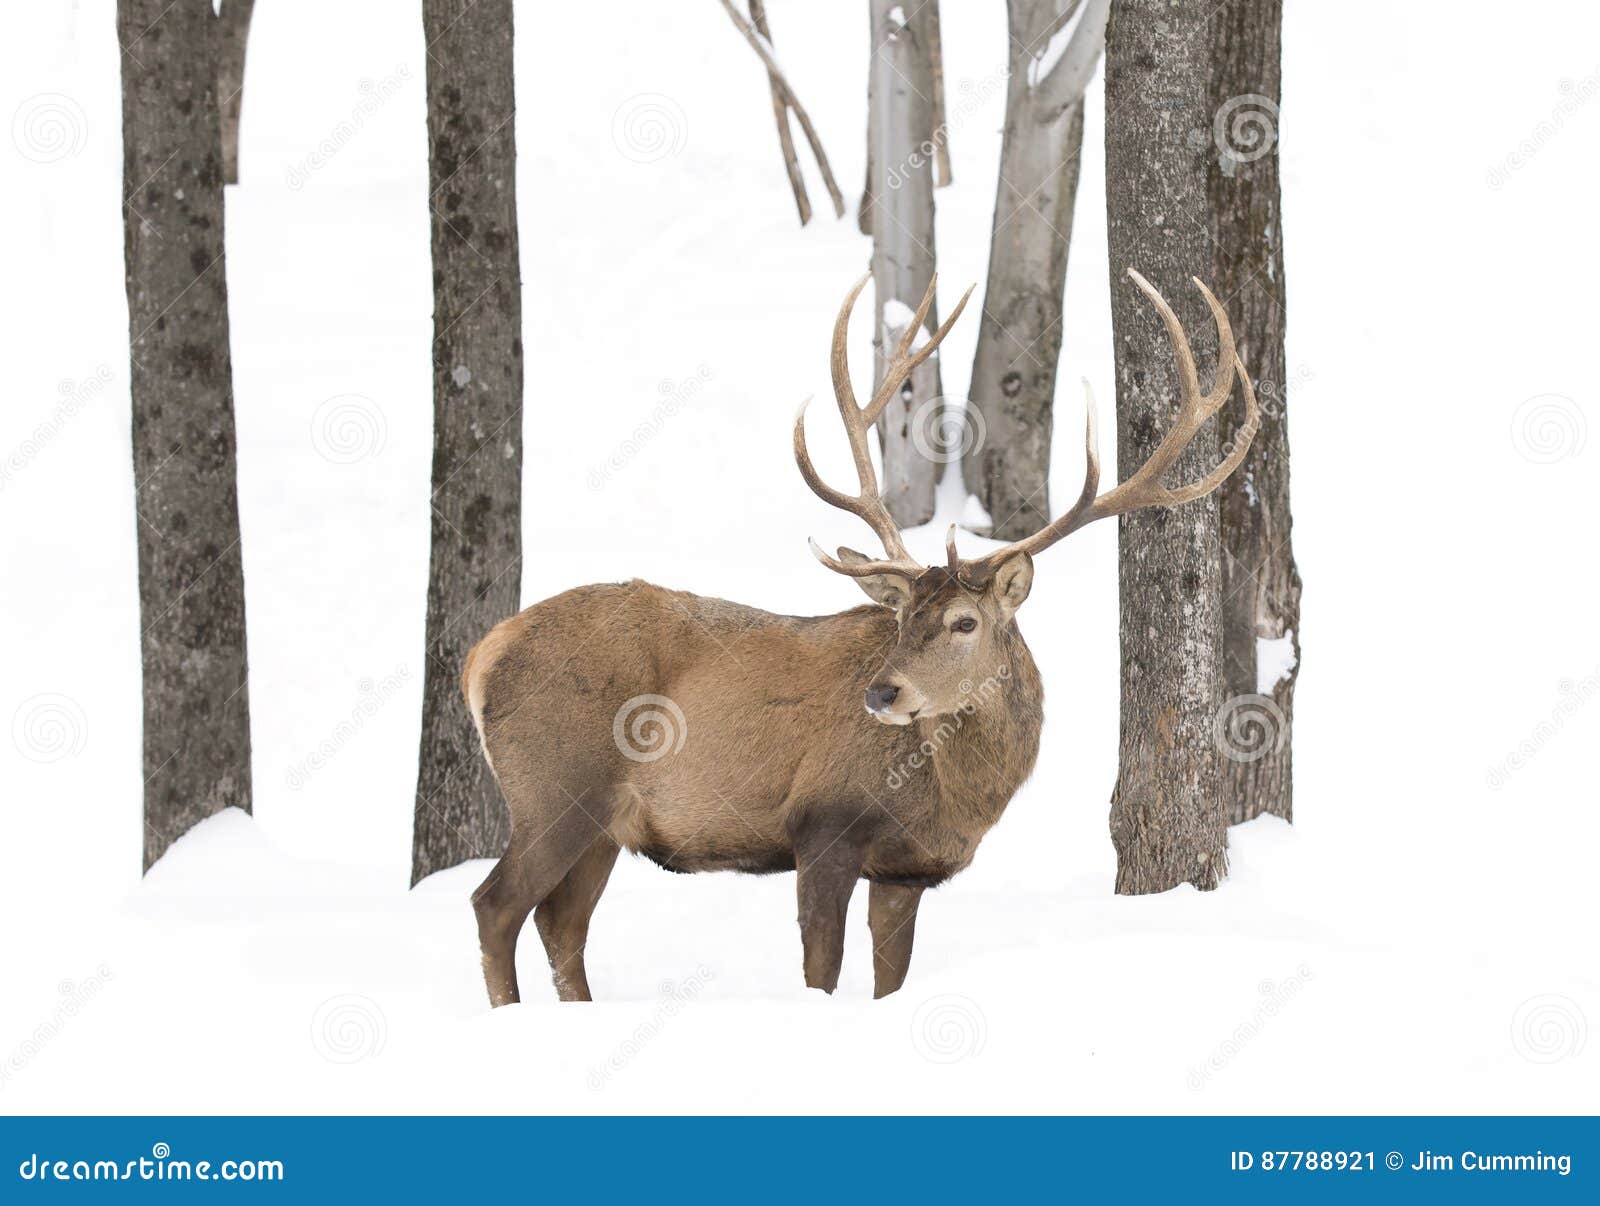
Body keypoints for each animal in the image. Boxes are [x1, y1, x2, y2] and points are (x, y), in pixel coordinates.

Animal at [463, 267, 1257, 1006]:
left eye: (964, 621)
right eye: (903, 618)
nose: (881, 692)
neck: (954, 799)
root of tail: (482, 654)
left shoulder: (907, 869)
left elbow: (889, 982)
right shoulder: (823, 826)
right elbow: (821, 974)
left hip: (602, 823)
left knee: (561, 923)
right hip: (555, 783)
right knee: (496, 905)